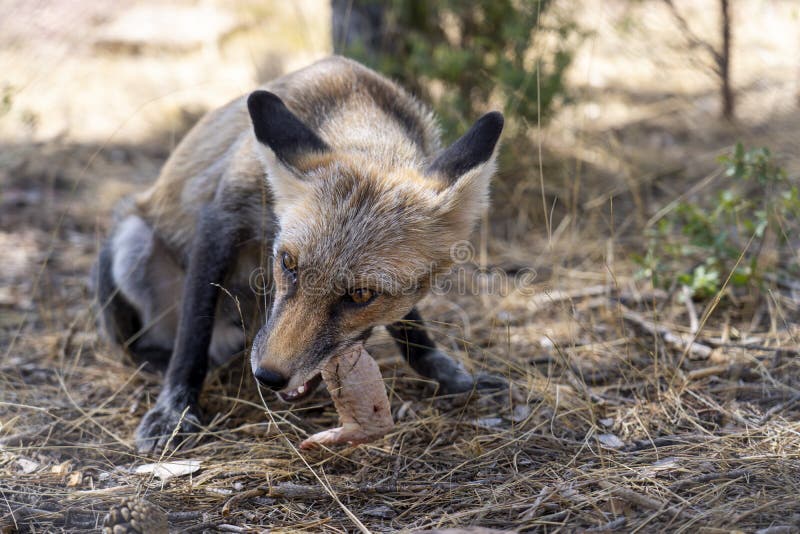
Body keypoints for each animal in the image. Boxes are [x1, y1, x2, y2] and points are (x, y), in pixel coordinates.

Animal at [93, 56, 505, 454]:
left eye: (362, 295)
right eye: (288, 264)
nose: (268, 376)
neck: (353, 101)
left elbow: (411, 328)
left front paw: (445, 373)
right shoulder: (219, 219)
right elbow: (193, 333)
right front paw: (175, 410)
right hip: (131, 244)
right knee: (139, 346)